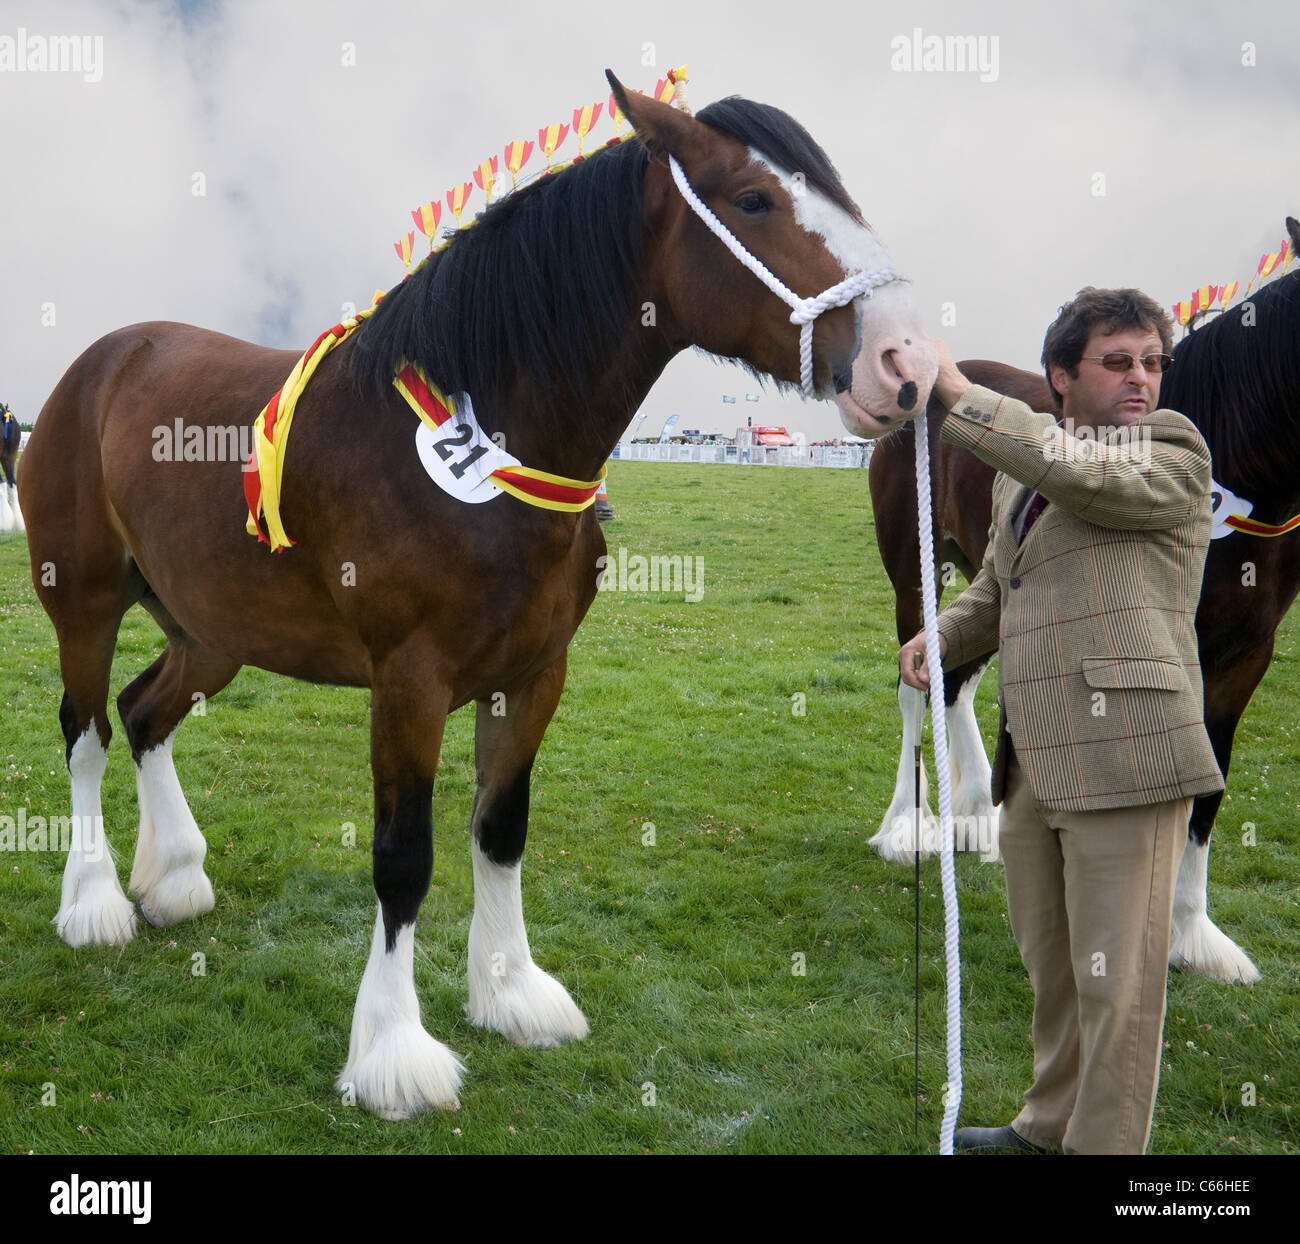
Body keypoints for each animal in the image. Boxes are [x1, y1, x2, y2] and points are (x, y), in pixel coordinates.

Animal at [18, 73, 936, 1120]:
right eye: (753, 200)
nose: (906, 362)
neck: (485, 449)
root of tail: (99, 364)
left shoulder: (533, 675)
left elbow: (500, 831)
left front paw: (510, 993)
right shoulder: (408, 683)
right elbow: (403, 857)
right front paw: (393, 1049)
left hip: (214, 627)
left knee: (144, 714)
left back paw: (171, 878)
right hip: (84, 604)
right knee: (87, 729)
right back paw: (93, 901)